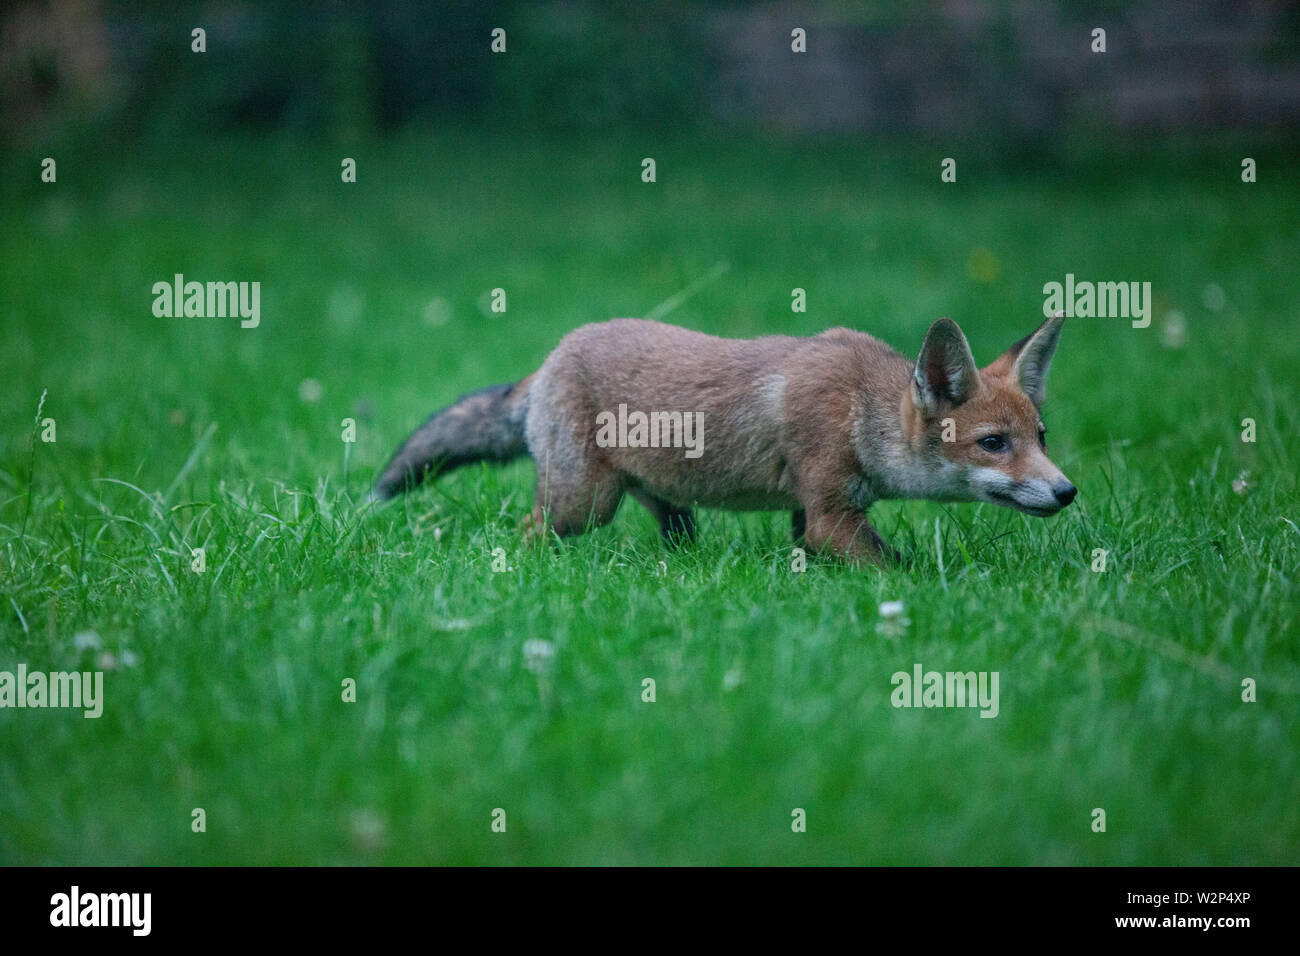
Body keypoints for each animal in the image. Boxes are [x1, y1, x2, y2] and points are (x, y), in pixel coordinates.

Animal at [372, 313, 1076, 565]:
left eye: (1040, 437)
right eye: (993, 443)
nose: (1068, 492)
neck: (860, 408)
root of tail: (550, 357)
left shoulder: (812, 515)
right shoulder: (831, 514)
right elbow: (900, 571)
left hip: (662, 499)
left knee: (675, 533)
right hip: (584, 503)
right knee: (530, 528)